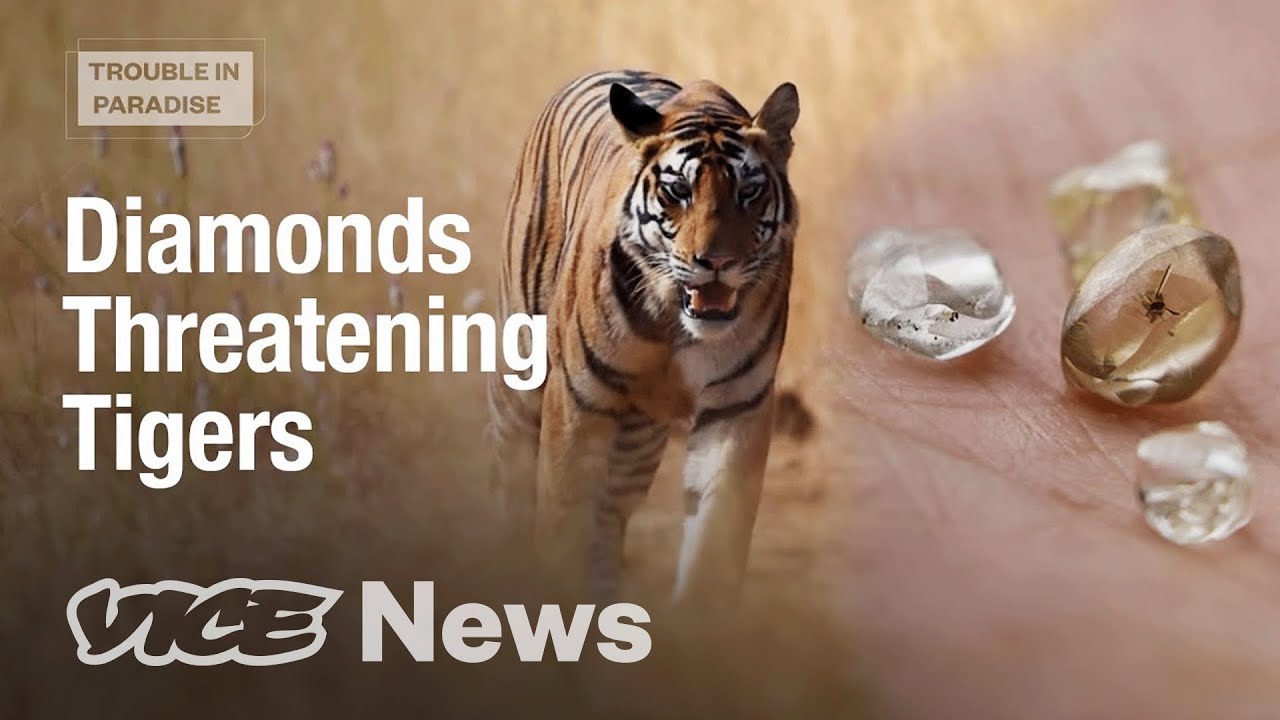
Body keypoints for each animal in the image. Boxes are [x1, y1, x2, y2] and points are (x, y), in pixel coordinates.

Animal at [488, 69, 800, 603]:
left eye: (748, 191)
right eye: (678, 191)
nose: (717, 262)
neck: (675, 325)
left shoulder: (737, 406)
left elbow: (714, 538)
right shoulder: (578, 404)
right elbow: (561, 524)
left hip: (638, 439)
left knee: (608, 518)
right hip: (520, 386)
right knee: (509, 482)